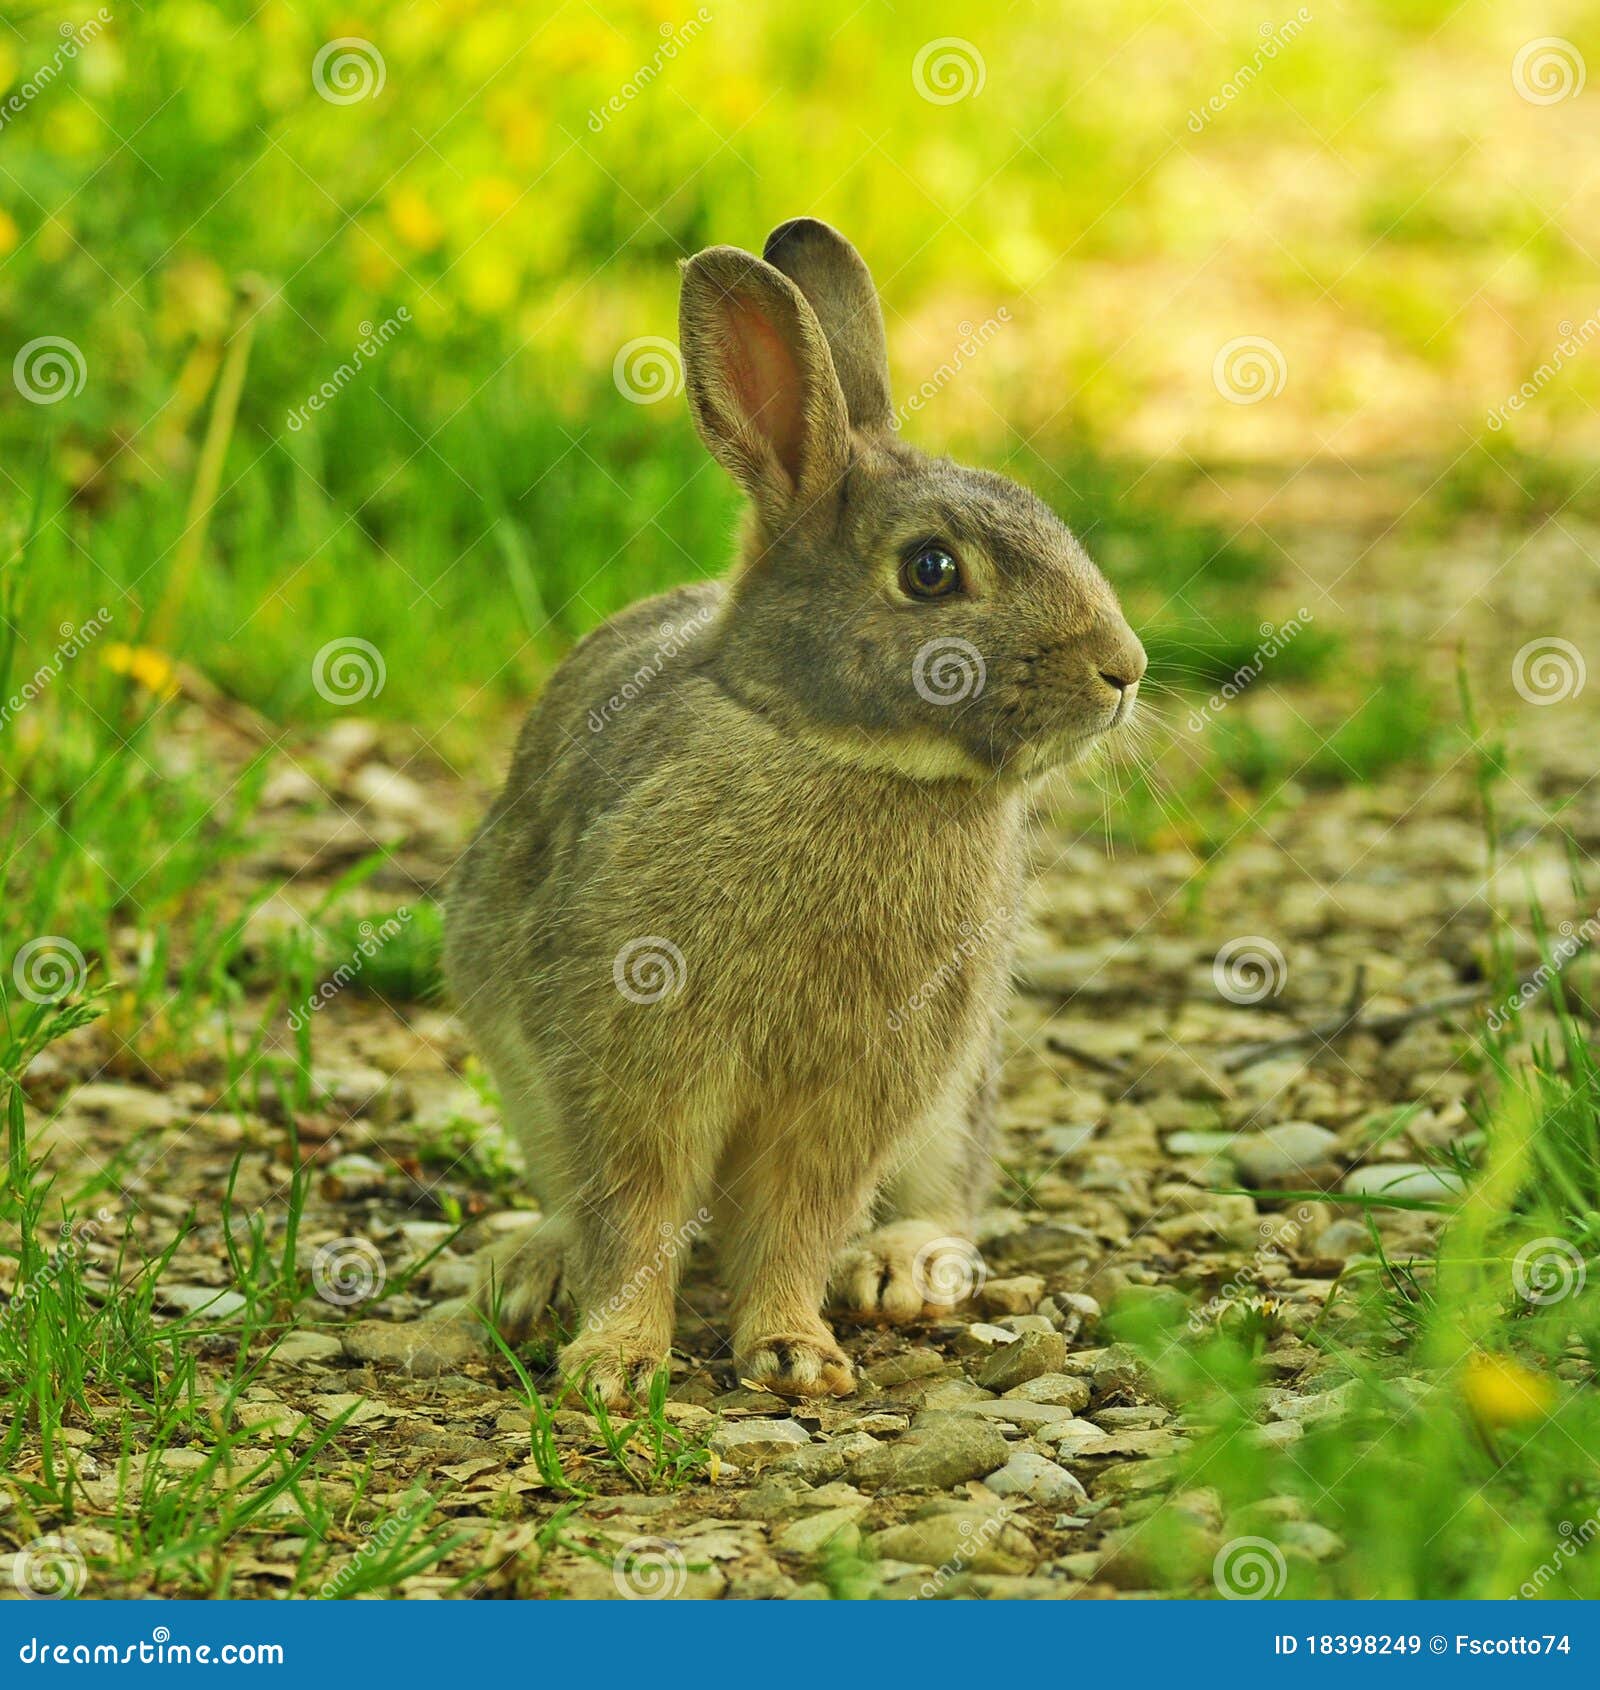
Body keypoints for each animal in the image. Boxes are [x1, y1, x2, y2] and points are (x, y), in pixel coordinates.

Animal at [444, 218, 1146, 1406]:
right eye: (930, 570)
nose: (1123, 670)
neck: (832, 747)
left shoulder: (863, 1086)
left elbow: (797, 1224)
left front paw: (793, 1351)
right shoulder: (630, 1052)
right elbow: (635, 1212)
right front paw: (614, 1364)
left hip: (959, 1080)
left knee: (947, 1192)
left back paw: (901, 1269)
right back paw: (531, 1267)